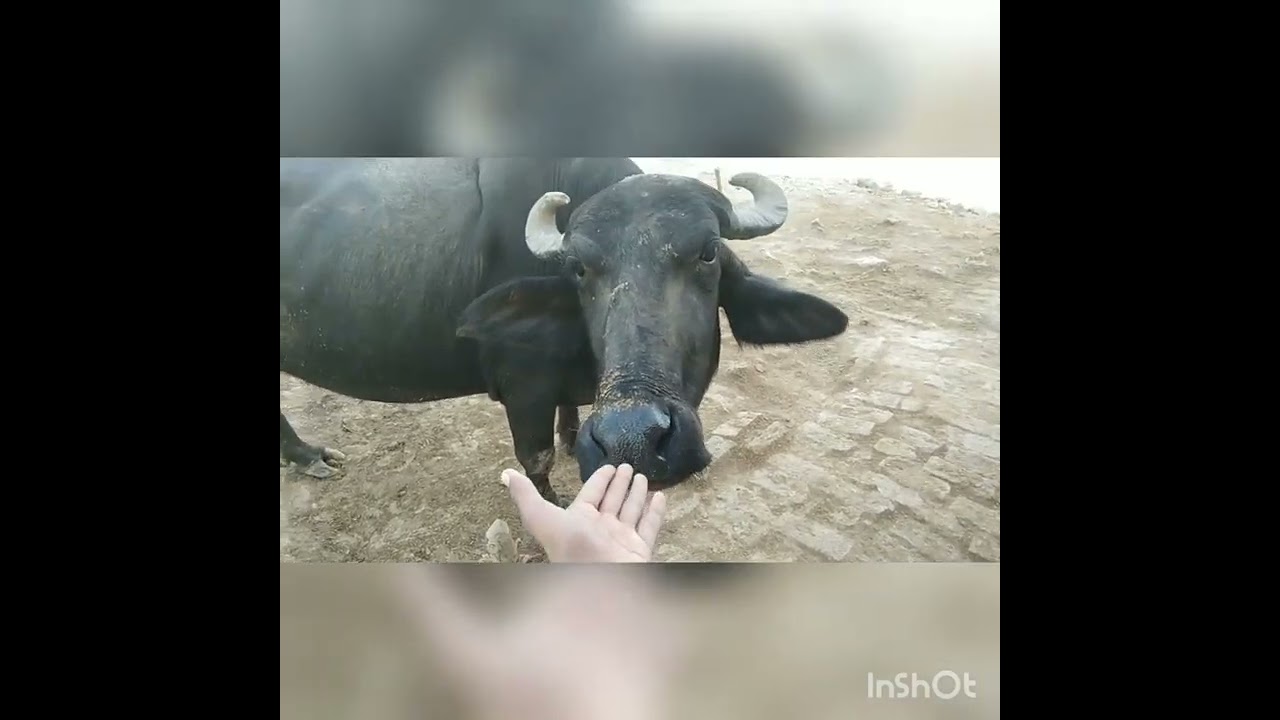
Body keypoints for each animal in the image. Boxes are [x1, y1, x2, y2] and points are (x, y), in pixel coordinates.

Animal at [280, 158, 849, 505]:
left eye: (708, 252)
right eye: (578, 267)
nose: (631, 440)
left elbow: (568, 419)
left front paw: (577, 437)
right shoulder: (524, 390)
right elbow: (536, 458)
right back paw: (311, 456)